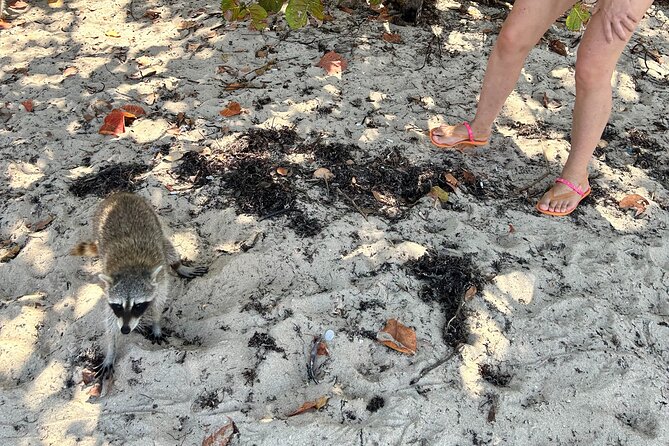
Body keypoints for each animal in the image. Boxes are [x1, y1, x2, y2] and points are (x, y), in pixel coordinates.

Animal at [72, 192, 207, 382]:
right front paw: (111, 350)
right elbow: (110, 321)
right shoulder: (109, 291)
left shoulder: (160, 279)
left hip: (153, 218)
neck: (131, 270)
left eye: (138, 305)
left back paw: (178, 265)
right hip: (97, 226)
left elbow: (158, 303)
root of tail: (119, 194)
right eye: (118, 306)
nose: (125, 330)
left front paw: (156, 323)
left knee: (168, 248)